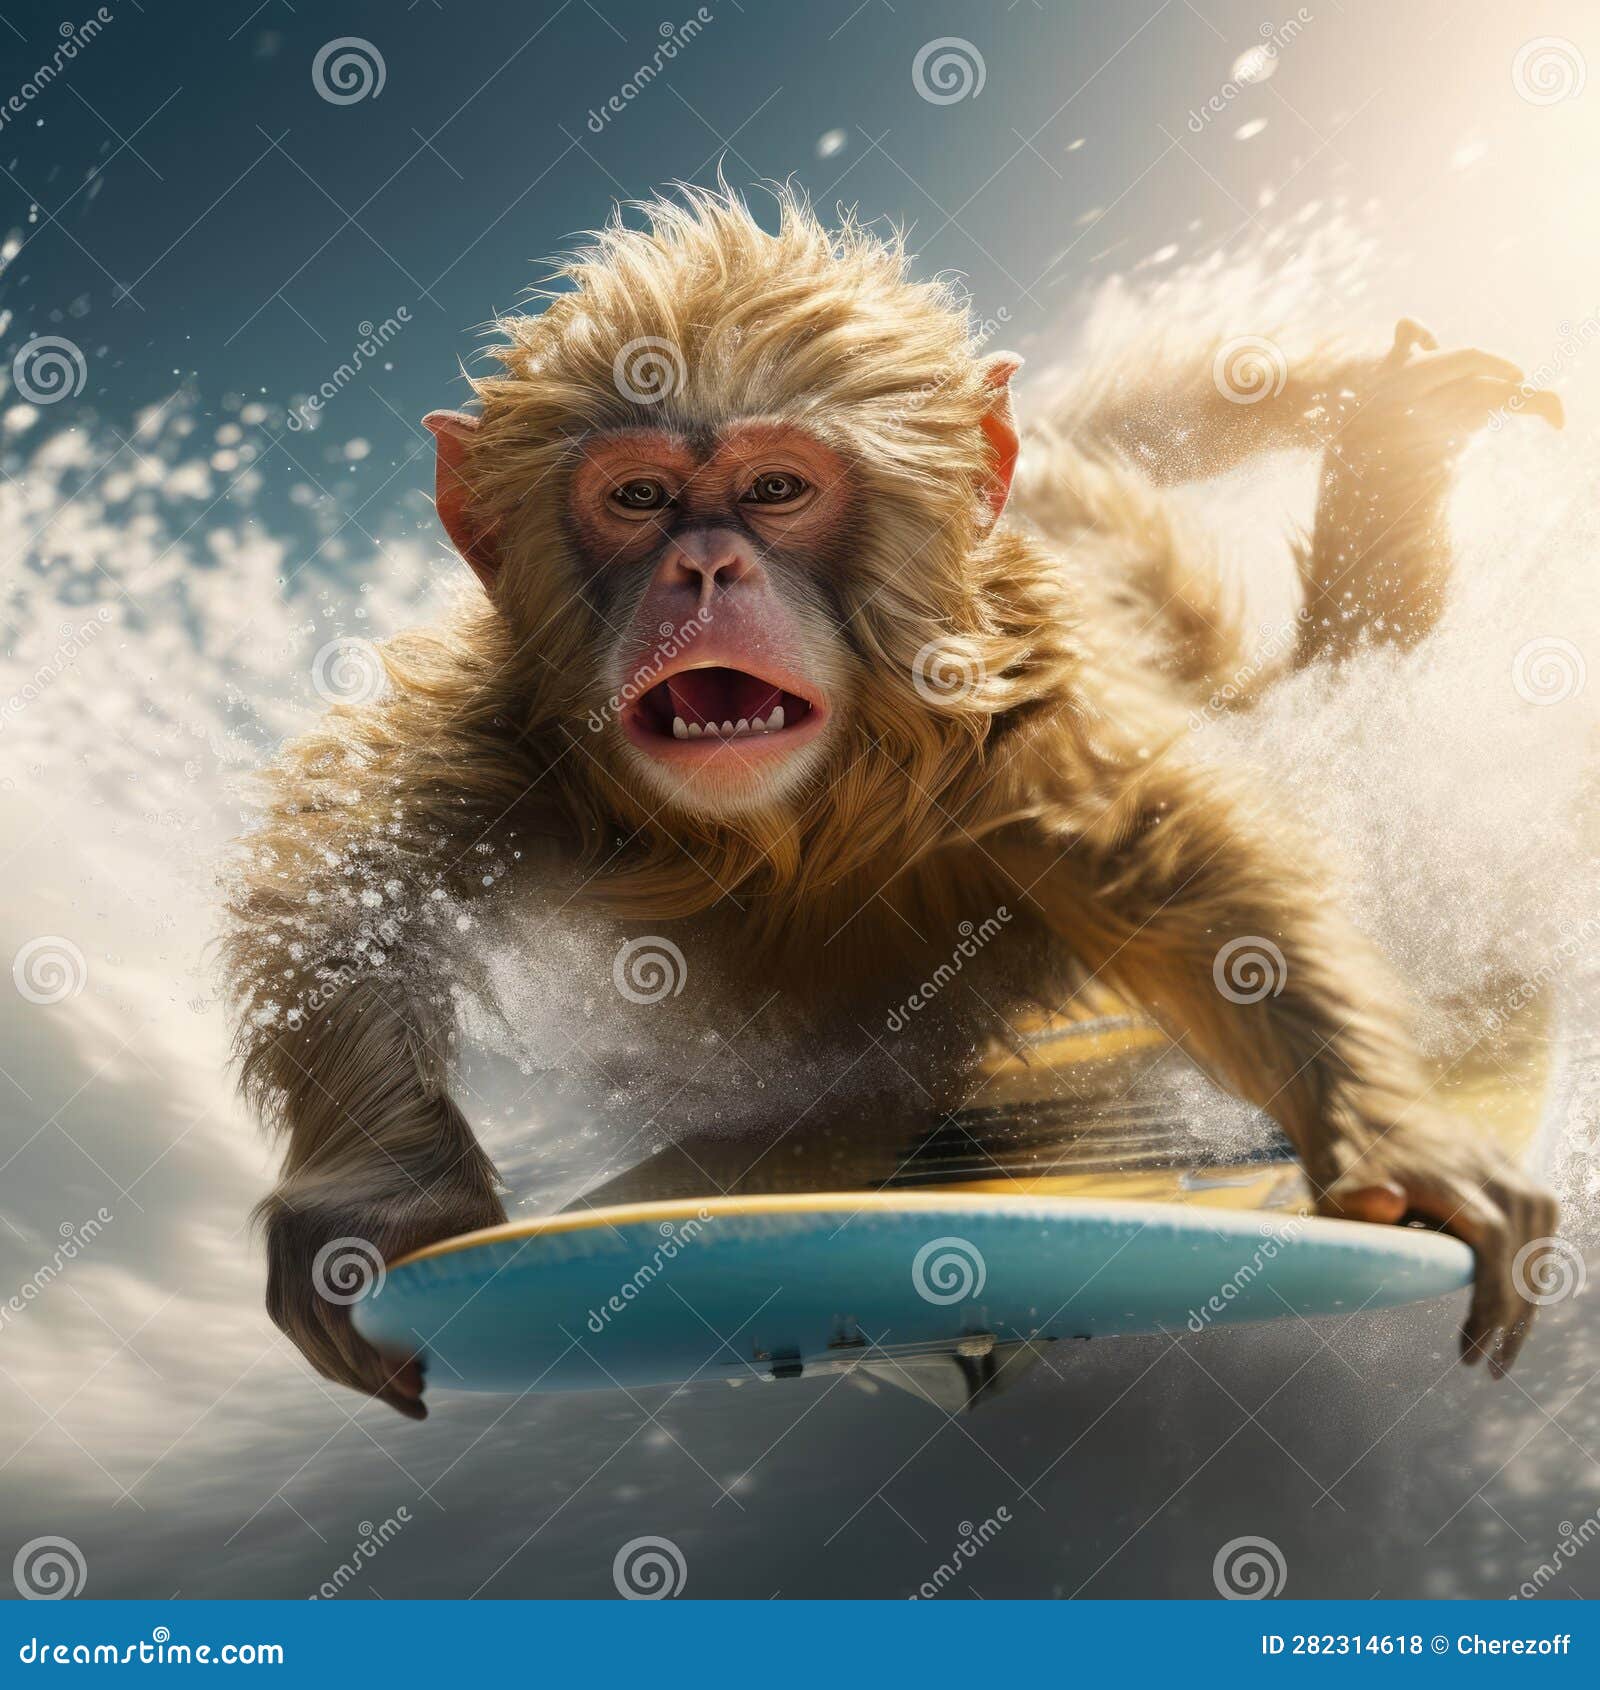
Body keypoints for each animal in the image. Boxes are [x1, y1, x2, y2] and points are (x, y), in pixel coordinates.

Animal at [222, 188, 1562, 1419]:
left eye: (774, 487)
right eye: (639, 498)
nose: (705, 567)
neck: (786, 830)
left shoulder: (1010, 705)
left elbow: (1176, 868)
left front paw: (1381, 1129)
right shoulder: (514, 725)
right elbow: (357, 864)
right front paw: (381, 1191)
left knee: (1323, 682)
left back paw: (1386, 463)